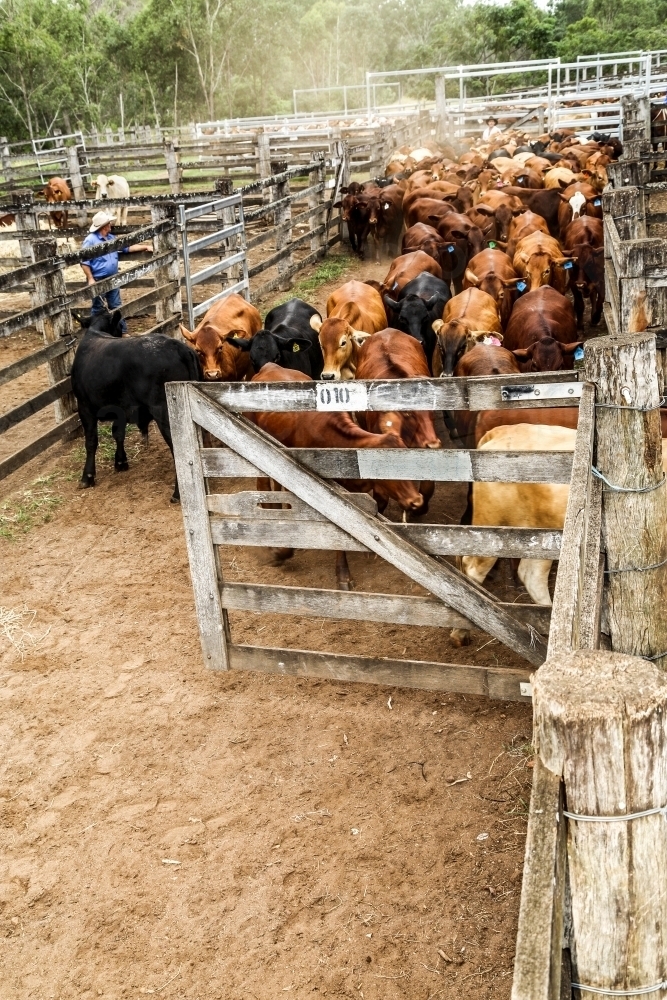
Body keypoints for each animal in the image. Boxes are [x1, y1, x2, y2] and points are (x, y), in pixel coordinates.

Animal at [70, 309, 200, 502]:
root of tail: (179, 346)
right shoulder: (120, 409)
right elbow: (118, 434)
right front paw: (120, 462)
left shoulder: (84, 407)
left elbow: (91, 441)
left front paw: (87, 476)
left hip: (165, 413)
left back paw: (178, 493)